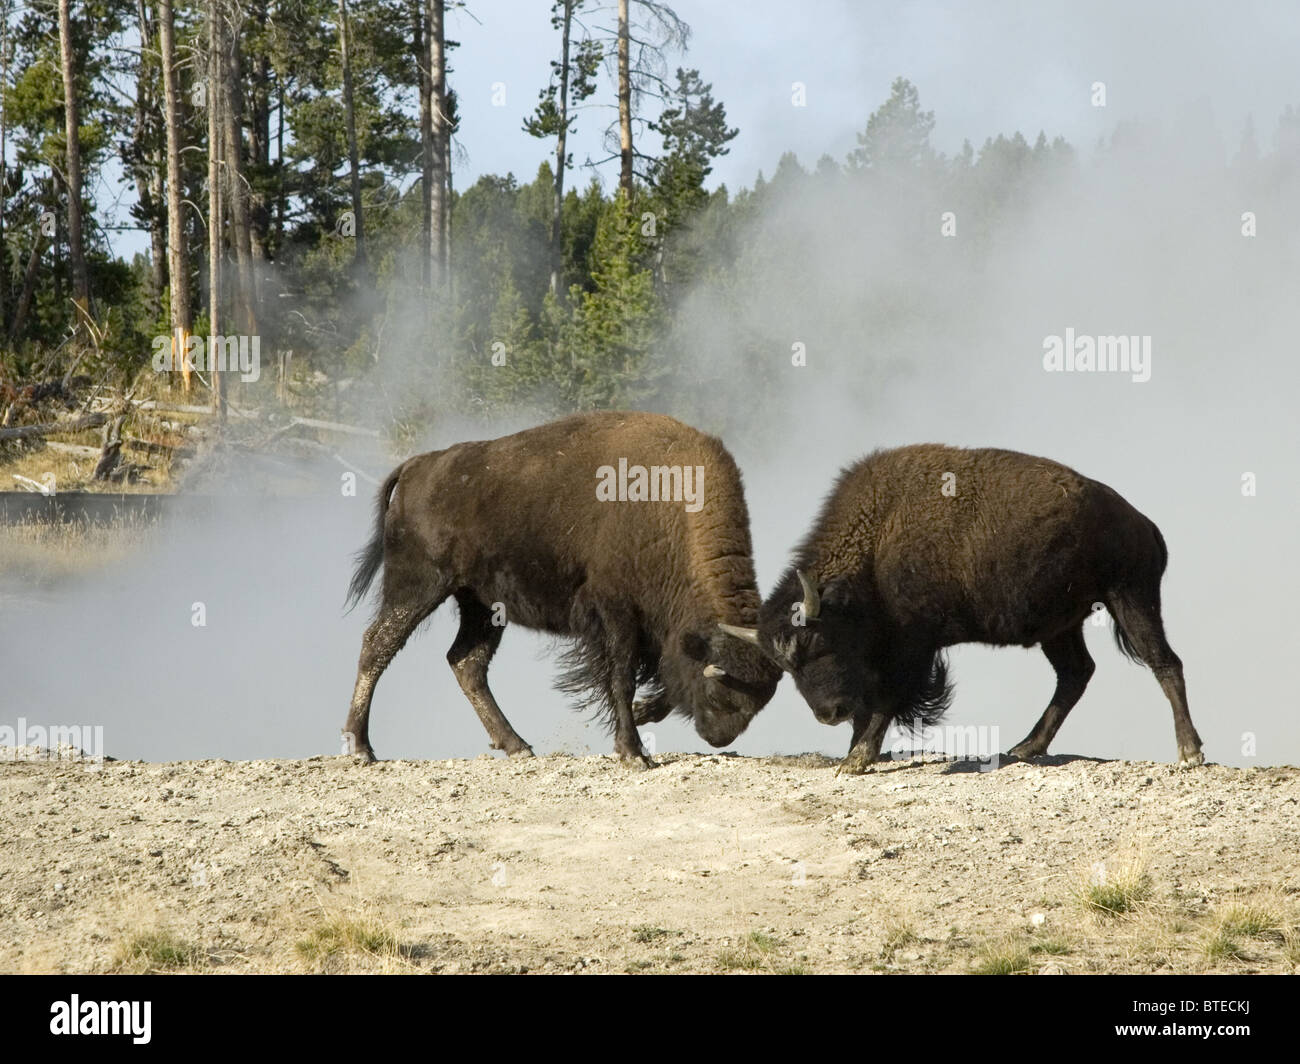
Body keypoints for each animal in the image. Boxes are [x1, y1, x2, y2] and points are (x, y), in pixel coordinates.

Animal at [343, 411, 781, 767]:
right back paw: (360, 748)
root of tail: (417, 466)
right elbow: (620, 678)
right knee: (377, 645)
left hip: (482, 605)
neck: (671, 509)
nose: (719, 737)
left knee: (467, 663)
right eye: (721, 686)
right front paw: (634, 753)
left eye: (763, 697)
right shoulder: (616, 616)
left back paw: (518, 746)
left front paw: (642, 716)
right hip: (417, 587)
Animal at [719, 444, 1204, 773]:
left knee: (1164, 663)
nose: (828, 714)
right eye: (786, 667)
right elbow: (873, 703)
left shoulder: (913, 648)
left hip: (1131, 599)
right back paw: (1025, 748)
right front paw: (855, 752)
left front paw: (855, 760)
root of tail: (1143, 524)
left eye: (819, 643)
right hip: (1060, 626)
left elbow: (886, 699)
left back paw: (1190, 752)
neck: (876, 545)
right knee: (1076, 674)